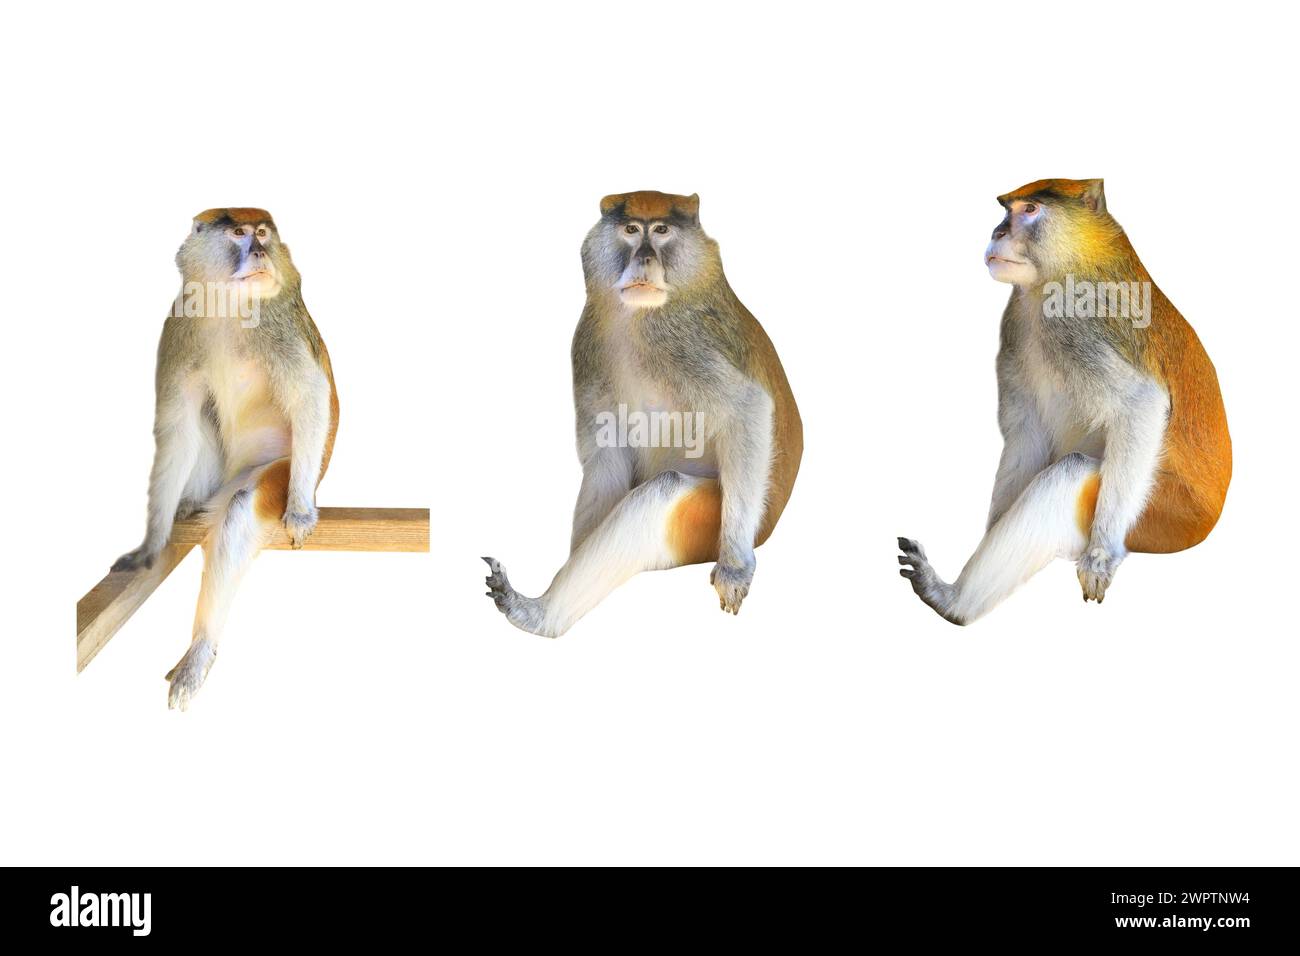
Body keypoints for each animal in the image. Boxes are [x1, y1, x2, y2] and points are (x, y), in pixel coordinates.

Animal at [111, 208, 339, 708]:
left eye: (263, 234)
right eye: (238, 233)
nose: (259, 252)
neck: (228, 306)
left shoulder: (279, 325)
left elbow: (310, 401)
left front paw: (299, 513)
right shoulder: (179, 329)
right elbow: (176, 431)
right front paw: (150, 545)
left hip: (275, 471)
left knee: (238, 508)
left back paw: (200, 650)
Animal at [484, 191, 802, 638]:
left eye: (663, 230)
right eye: (632, 229)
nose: (645, 258)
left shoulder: (686, 342)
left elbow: (748, 407)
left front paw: (735, 570)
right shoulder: (589, 346)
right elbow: (607, 455)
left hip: (708, 523)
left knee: (662, 491)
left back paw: (538, 615)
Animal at [899, 179, 1231, 624]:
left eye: (1031, 209)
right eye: (1007, 210)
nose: (997, 232)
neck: (1073, 261)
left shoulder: (1075, 319)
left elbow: (1140, 403)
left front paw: (1099, 559)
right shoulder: (1016, 326)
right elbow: (1027, 435)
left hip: (1159, 517)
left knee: (1071, 473)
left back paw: (951, 602)